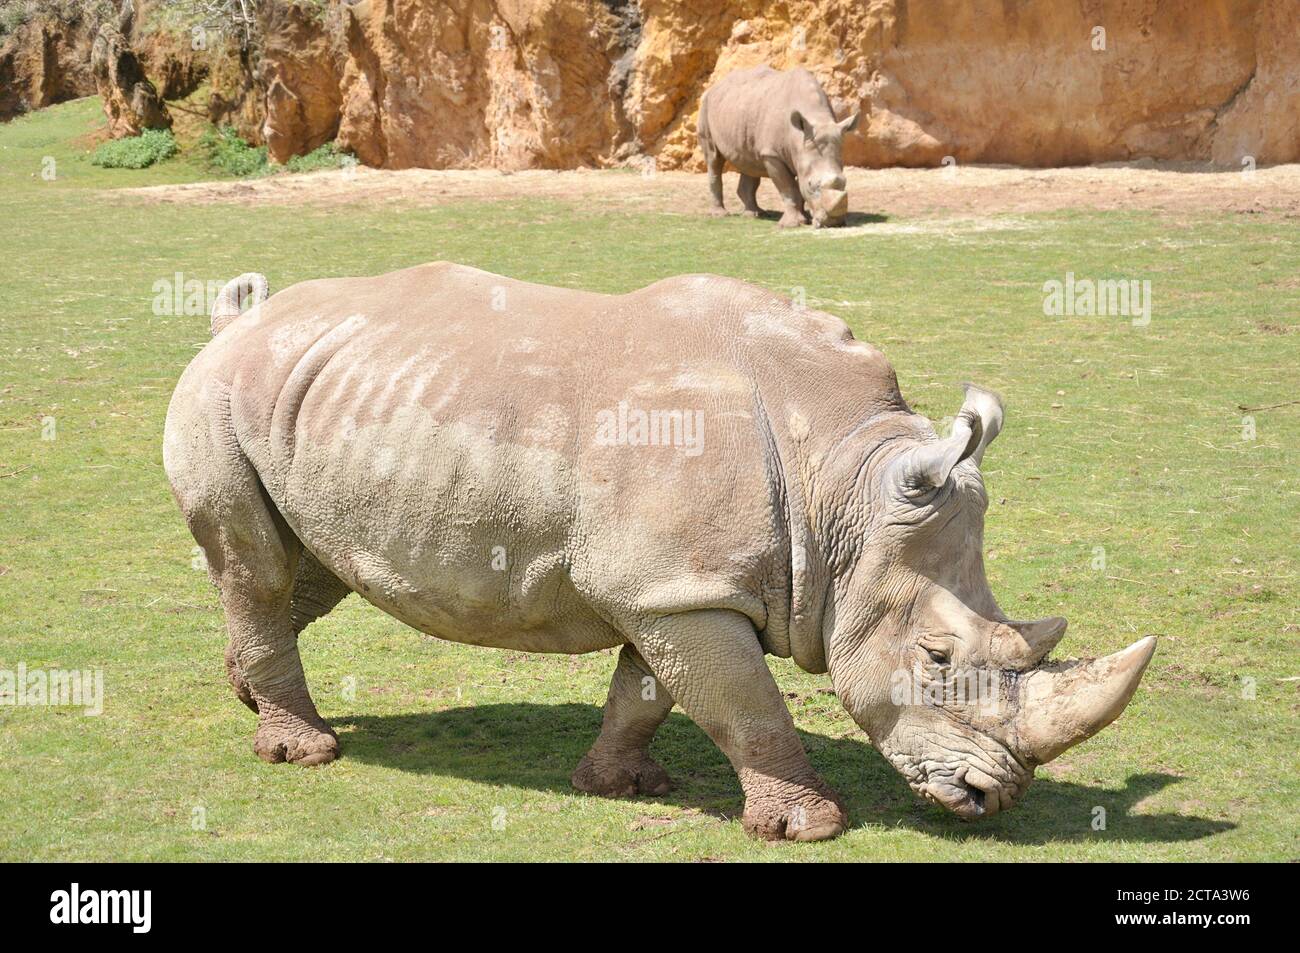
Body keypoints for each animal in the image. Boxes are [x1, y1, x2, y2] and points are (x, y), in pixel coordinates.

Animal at [164, 263, 1156, 841]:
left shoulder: (667, 583)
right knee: (257, 566)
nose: (996, 798)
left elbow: (647, 689)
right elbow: (746, 704)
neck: (843, 481)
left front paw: (623, 784)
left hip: (315, 401)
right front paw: (808, 827)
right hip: (218, 395)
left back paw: (248, 692)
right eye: (938, 657)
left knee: (309, 568)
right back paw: (304, 752)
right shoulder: (681, 588)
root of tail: (237, 322)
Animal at [698, 65, 860, 228]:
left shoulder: (800, 152)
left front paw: (805, 218)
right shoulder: (773, 155)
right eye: (811, 185)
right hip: (706, 106)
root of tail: (715, 86)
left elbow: (797, 186)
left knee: (749, 161)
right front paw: (792, 224)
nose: (834, 223)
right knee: (714, 159)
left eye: (844, 182)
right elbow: (788, 187)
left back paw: (756, 214)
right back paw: (720, 214)